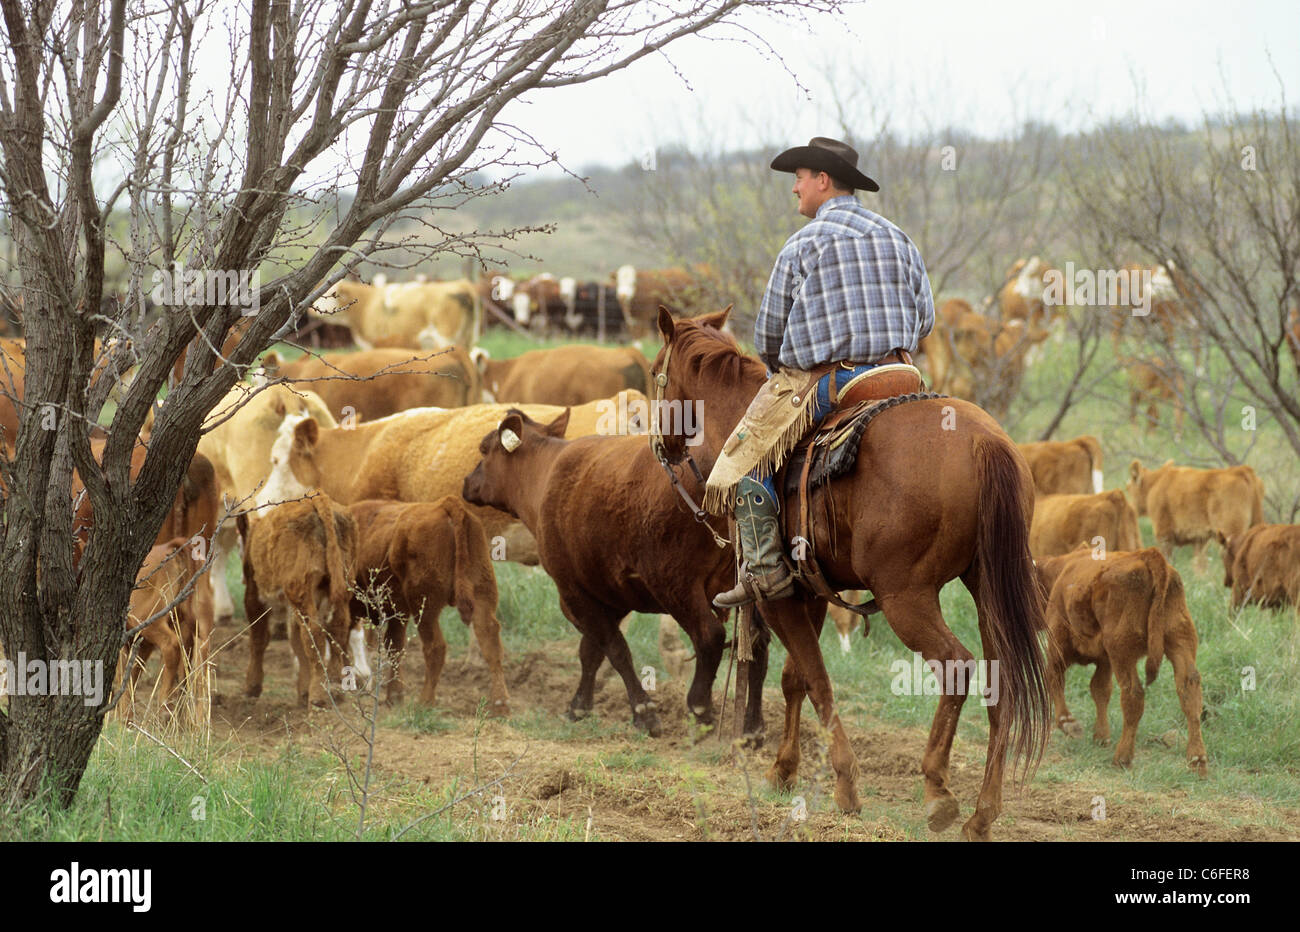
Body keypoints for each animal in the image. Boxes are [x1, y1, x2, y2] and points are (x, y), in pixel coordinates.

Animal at [649, 307, 1050, 840]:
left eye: (655, 372)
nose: (660, 446)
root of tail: (983, 442)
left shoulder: (777, 594)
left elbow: (818, 680)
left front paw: (844, 785)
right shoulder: (812, 590)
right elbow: (795, 678)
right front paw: (783, 770)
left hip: (906, 597)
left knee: (958, 666)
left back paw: (938, 791)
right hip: (986, 588)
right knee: (1000, 682)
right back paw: (982, 814)